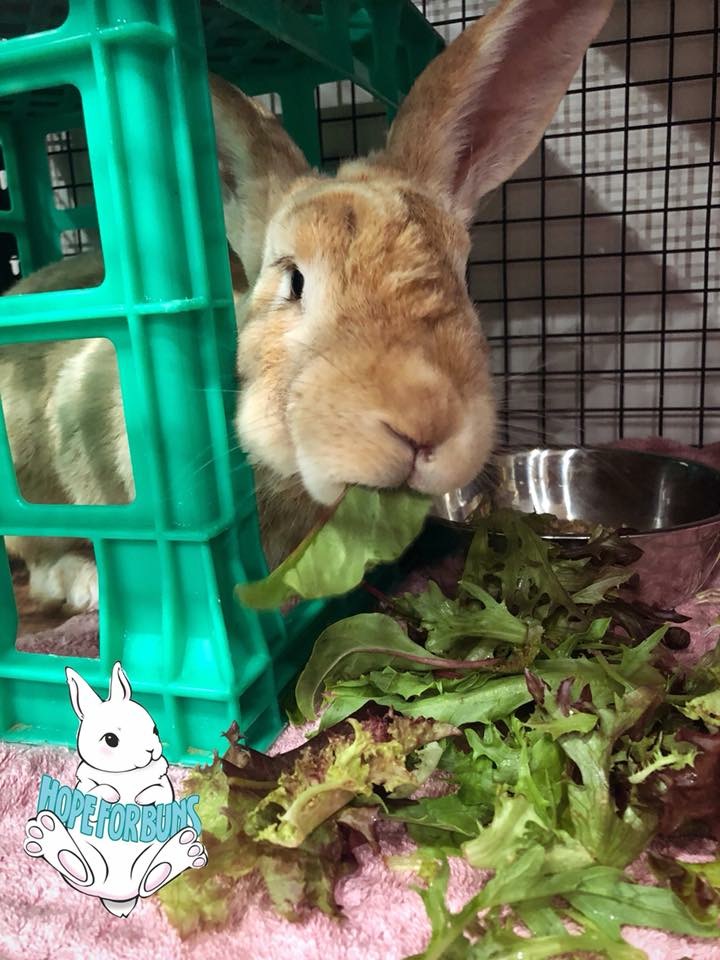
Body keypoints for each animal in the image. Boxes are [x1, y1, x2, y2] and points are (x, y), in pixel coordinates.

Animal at [24, 661, 207, 916]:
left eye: (155, 730)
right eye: (111, 740)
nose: (151, 750)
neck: (126, 774)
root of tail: (121, 896)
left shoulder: (162, 783)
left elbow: (160, 793)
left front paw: (141, 799)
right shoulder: (87, 784)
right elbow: (92, 794)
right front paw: (114, 794)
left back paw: (184, 852)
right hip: (89, 858)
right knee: (80, 869)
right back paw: (47, 836)